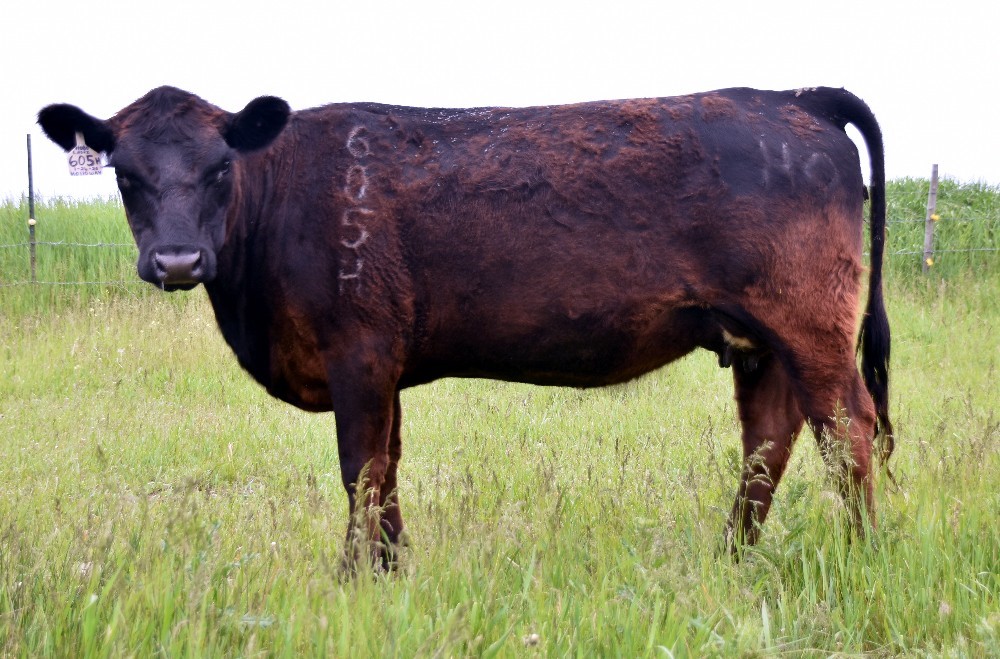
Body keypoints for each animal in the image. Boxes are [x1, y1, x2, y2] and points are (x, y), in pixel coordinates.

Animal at [38, 85, 892, 569]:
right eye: (124, 174)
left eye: (220, 167)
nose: (177, 259)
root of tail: (793, 95)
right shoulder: (385, 366)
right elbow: (387, 468)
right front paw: (392, 570)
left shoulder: (359, 353)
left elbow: (360, 470)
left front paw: (355, 578)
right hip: (757, 340)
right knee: (769, 443)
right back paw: (730, 559)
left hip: (808, 322)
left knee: (847, 429)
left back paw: (862, 558)